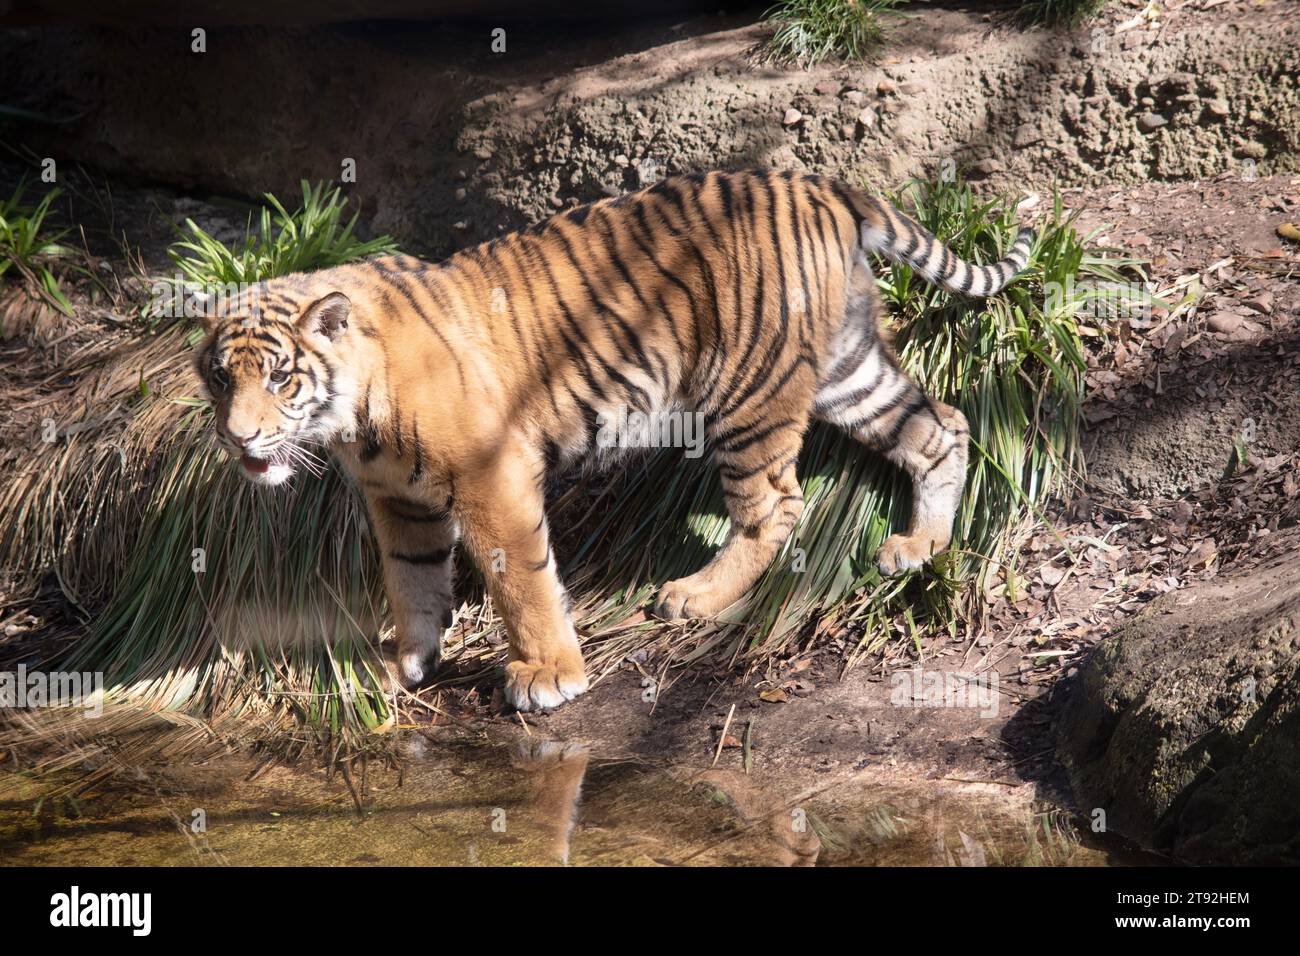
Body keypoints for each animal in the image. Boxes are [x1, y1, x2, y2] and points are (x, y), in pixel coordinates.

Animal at [194, 169, 1034, 711]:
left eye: (280, 379)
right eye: (220, 379)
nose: (237, 439)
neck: (355, 420)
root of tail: (824, 187)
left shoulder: (491, 478)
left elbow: (522, 582)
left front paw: (547, 674)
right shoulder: (400, 502)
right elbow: (413, 580)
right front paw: (404, 661)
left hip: (747, 390)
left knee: (775, 504)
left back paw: (696, 595)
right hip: (843, 368)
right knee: (940, 426)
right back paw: (919, 546)